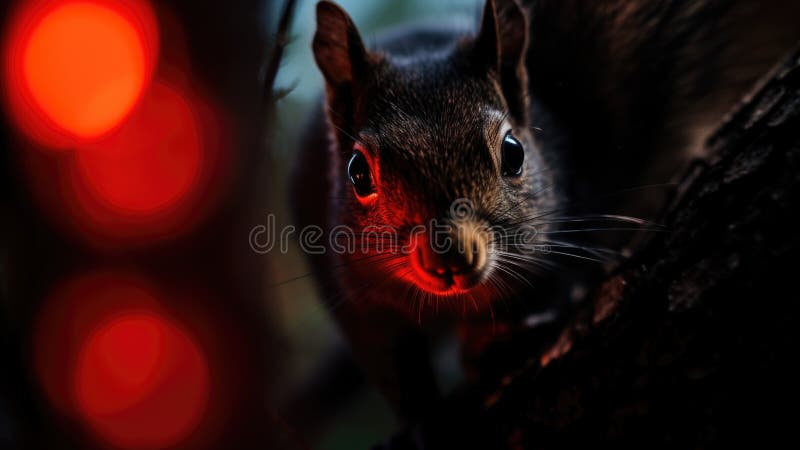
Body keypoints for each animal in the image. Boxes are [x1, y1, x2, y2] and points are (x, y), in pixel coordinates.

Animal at [290, 0, 800, 423]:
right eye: (358, 172)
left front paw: (493, 343)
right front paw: (427, 420)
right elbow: (393, 368)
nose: (450, 255)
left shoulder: (575, 226)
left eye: (514, 152)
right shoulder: (356, 298)